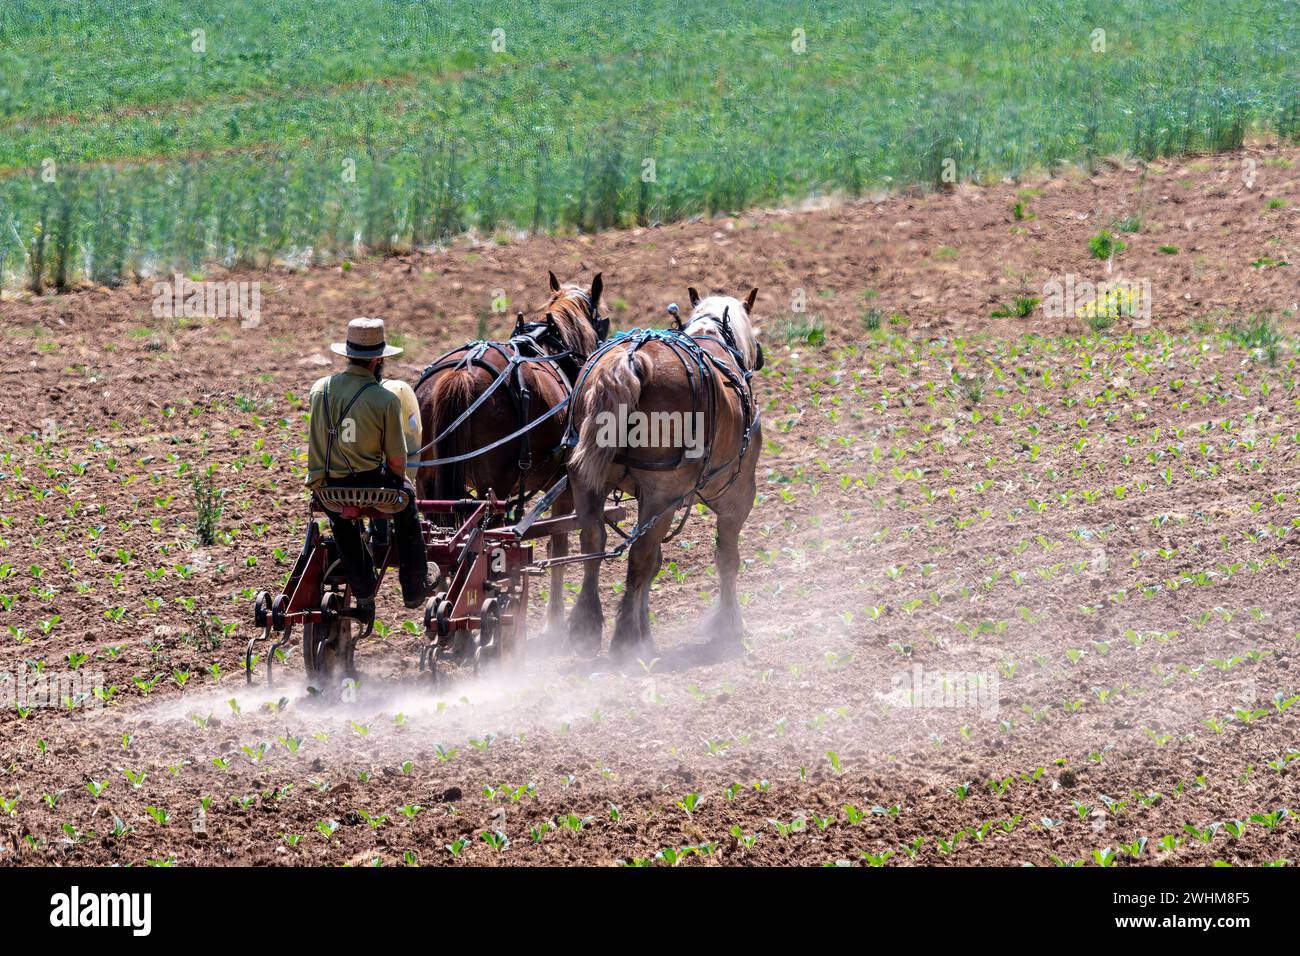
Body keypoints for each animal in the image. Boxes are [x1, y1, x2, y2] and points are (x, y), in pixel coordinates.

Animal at [412, 271, 608, 641]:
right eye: (603, 319)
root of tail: (461, 372)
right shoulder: (564, 484)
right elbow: (558, 544)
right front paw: (553, 619)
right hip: (496, 488)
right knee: (483, 550)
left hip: (428, 482)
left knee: (443, 549)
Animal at [564, 287, 763, 658]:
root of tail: (630, 360)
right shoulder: (738, 495)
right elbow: (727, 558)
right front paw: (729, 624)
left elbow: (655, 564)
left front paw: (646, 630)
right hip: (663, 494)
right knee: (638, 558)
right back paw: (626, 640)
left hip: (585, 482)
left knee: (593, 545)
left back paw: (587, 628)